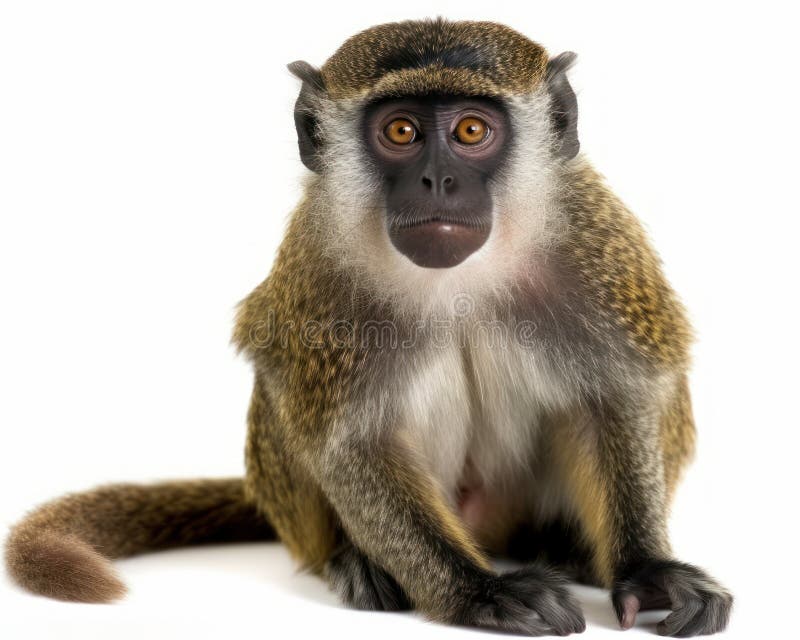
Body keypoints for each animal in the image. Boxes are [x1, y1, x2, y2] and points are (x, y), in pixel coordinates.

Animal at [5, 18, 732, 637]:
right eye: (402, 132)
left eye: (472, 131)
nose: (437, 180)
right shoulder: (321, 275)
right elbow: (352, 445)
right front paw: (478, 592)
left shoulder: (595, 247)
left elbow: (617, 396)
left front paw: (647, 569)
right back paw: (355, 561)